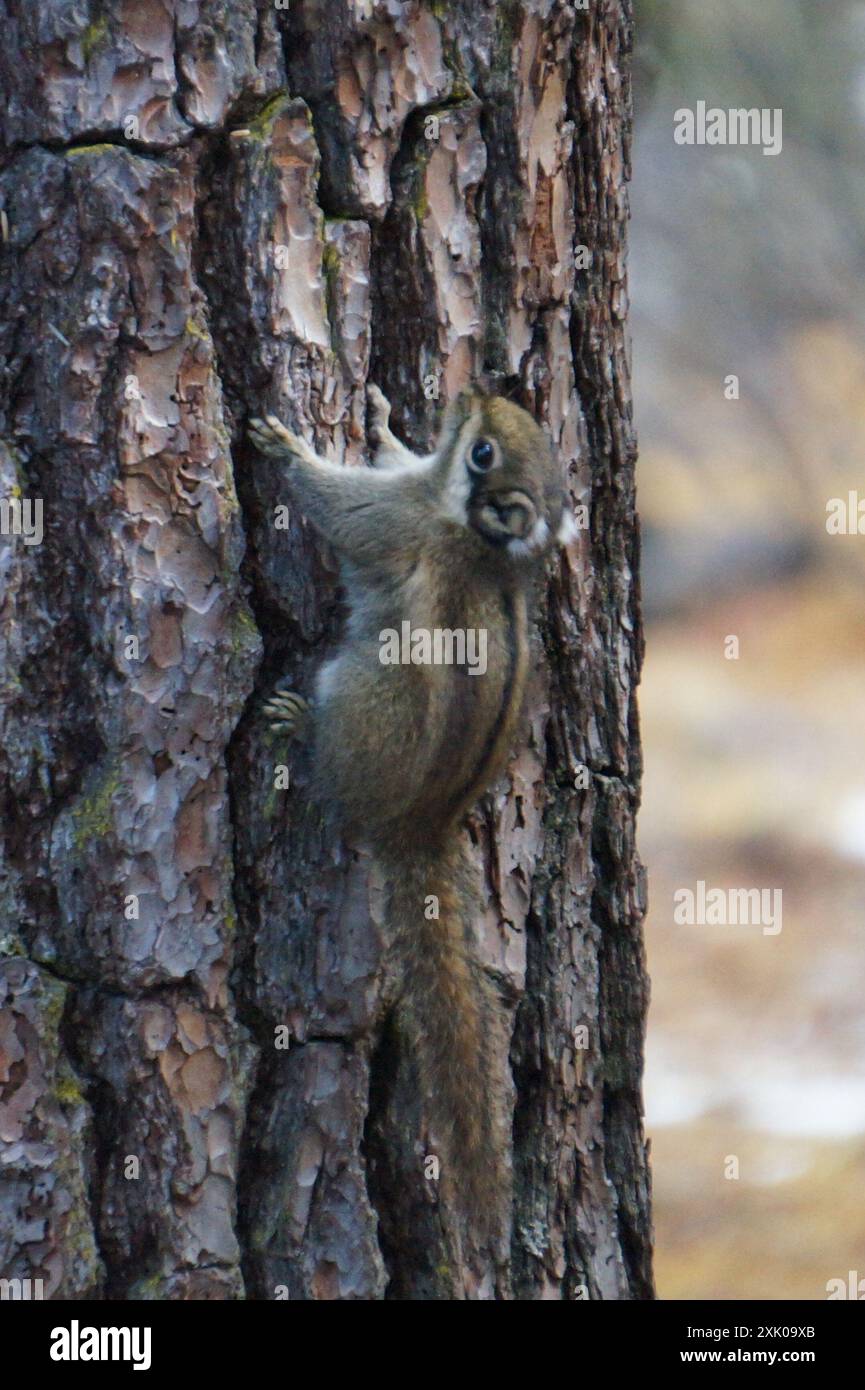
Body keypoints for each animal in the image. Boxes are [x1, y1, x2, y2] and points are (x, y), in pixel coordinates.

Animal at [249, 385, 573, 1242]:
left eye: (484, 454)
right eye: (504, 424)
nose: (475, 390)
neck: (466, 526)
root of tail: (419, 822)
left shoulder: (392, 519)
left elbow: (336, 506)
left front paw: (287, 446)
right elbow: (392, 455)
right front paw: (384, 418)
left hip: (361, 693)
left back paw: (300, 723)